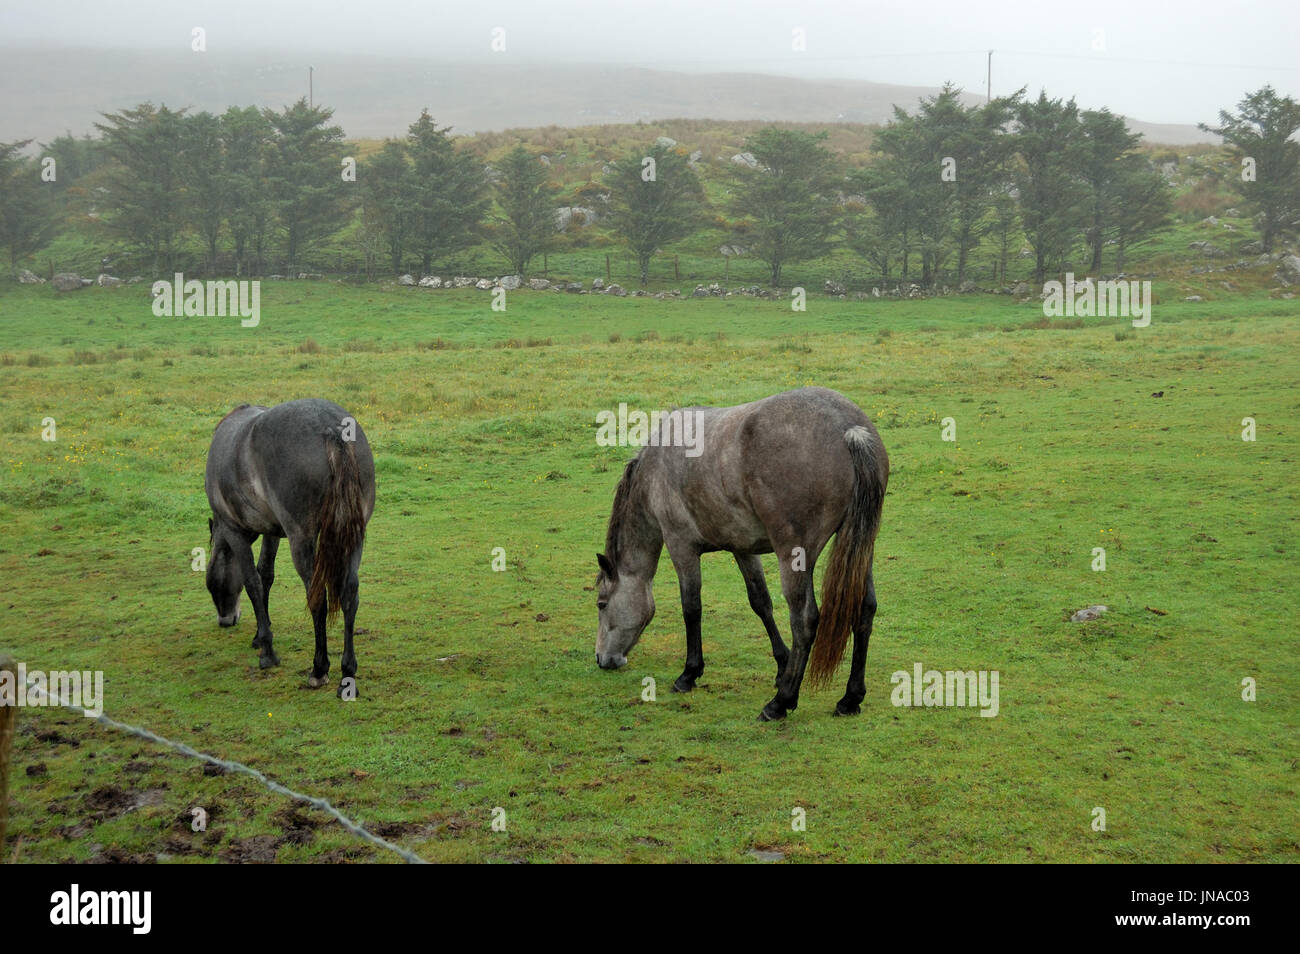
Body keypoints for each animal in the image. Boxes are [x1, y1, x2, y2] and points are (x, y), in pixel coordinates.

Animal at [204, 399, 375, 696]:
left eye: (211, 584)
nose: (225, 620)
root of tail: (331, 427)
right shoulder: (271, 532)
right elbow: (266, 575)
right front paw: (260, 636)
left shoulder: (235, 532)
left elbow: (252, 582)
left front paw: (267, 651)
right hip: (354, 538)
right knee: (349, 596)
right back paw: (347, 672)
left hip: (302, 542)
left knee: (317, 598)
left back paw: (319, 669)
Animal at [594, 387, 888, 721]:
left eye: (602, 604)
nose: (602, 658)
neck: (655, 468)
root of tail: (849, 428)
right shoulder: (743, 549)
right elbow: (760, 602)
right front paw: (782, 664)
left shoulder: (681, 545)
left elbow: (691, 608)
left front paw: (689, 674)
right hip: (861, 548)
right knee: (865, 609)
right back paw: (850, 698)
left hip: (795, 557)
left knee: (805, 620)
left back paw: (780, 703)